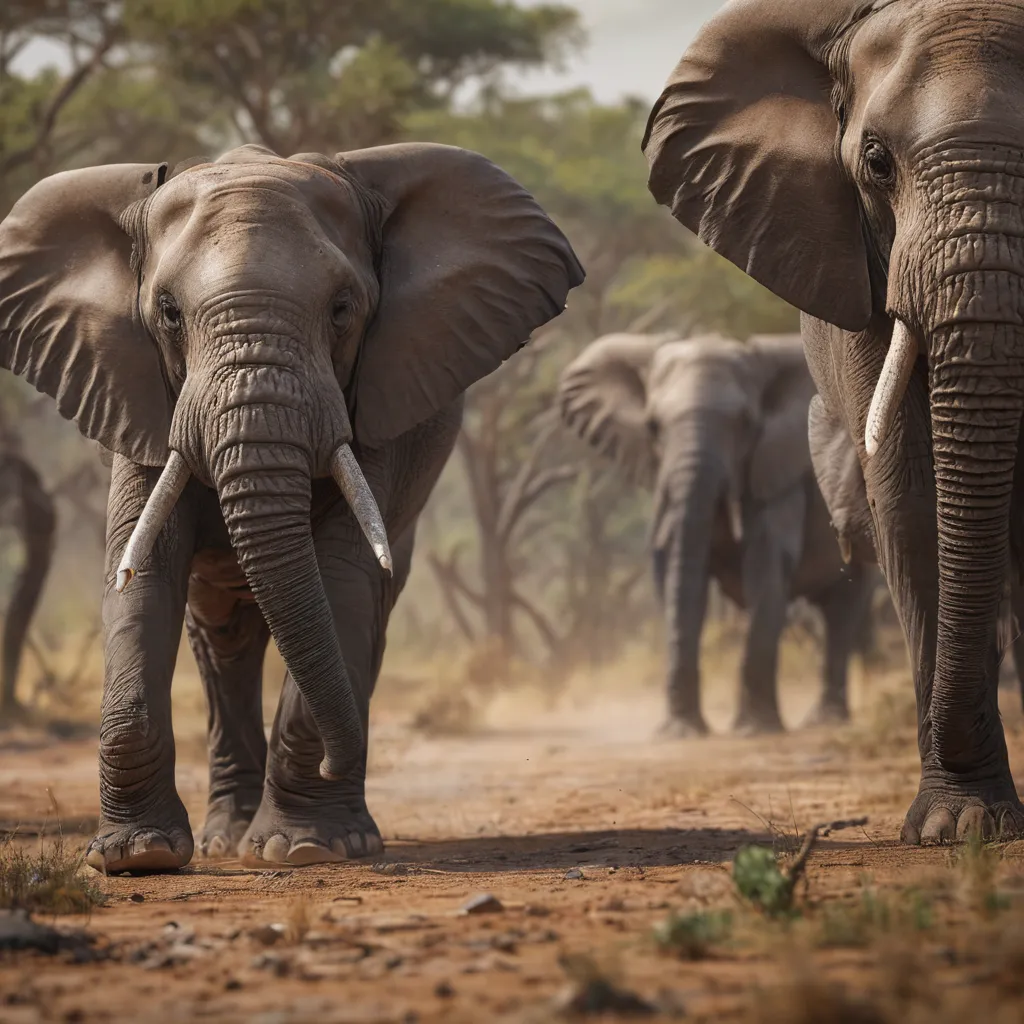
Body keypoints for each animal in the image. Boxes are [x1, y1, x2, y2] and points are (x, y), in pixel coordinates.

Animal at [0, 143, 583, 871]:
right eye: (167, 312)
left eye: (342, 308)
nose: (339, 758)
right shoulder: (138, 394)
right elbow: (141, 574)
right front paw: (137, 856)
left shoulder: (382, 395)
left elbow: (341, 576)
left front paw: (305, 847)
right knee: (222, 633)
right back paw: (225, 839)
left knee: (367, 609)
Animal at [558, 331, 877, 735]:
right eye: (653, 427)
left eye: (744, 423)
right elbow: (681, 581)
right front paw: (681, 733)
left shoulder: (773, 475)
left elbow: (764, 567)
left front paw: (753, 730)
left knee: (843, 610)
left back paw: (826, 721)